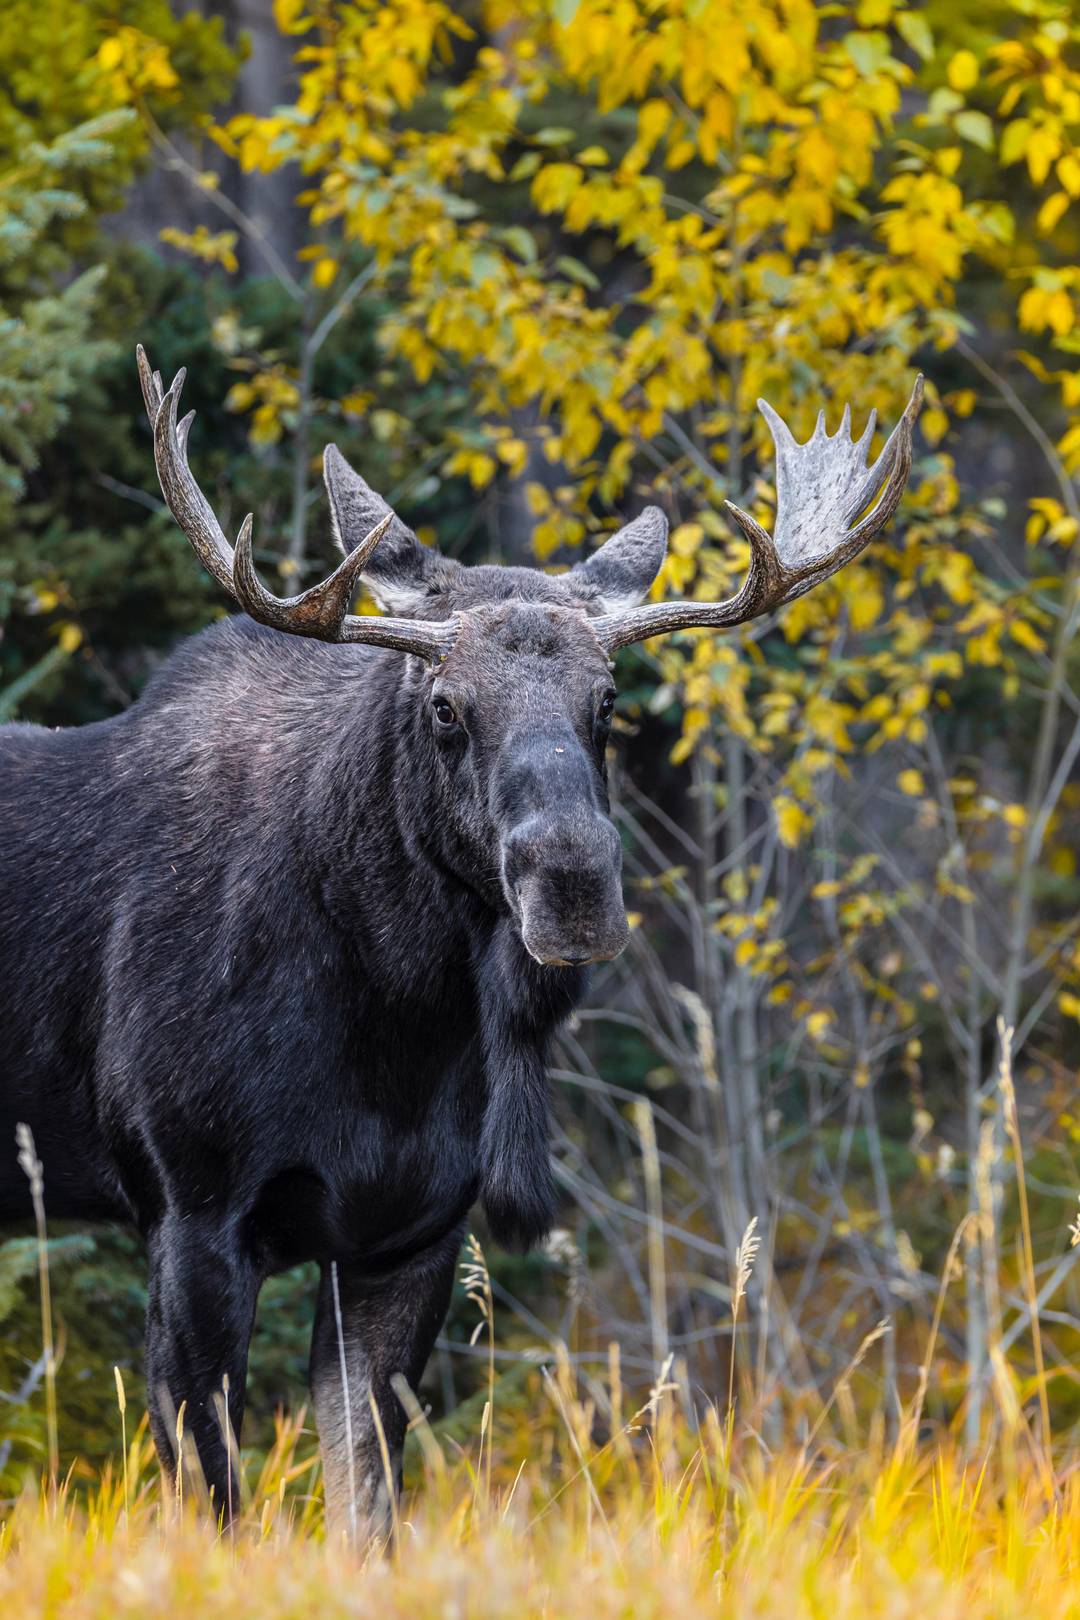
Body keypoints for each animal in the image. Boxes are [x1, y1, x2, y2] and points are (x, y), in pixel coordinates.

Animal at [0, 346, 922, 1529]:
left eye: (608, 699)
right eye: (444, 705)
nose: (572, 884)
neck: (394, 1025)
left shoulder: (412, 1234)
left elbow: (368, 1507)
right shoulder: (191, 1210)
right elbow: (215, 1501)